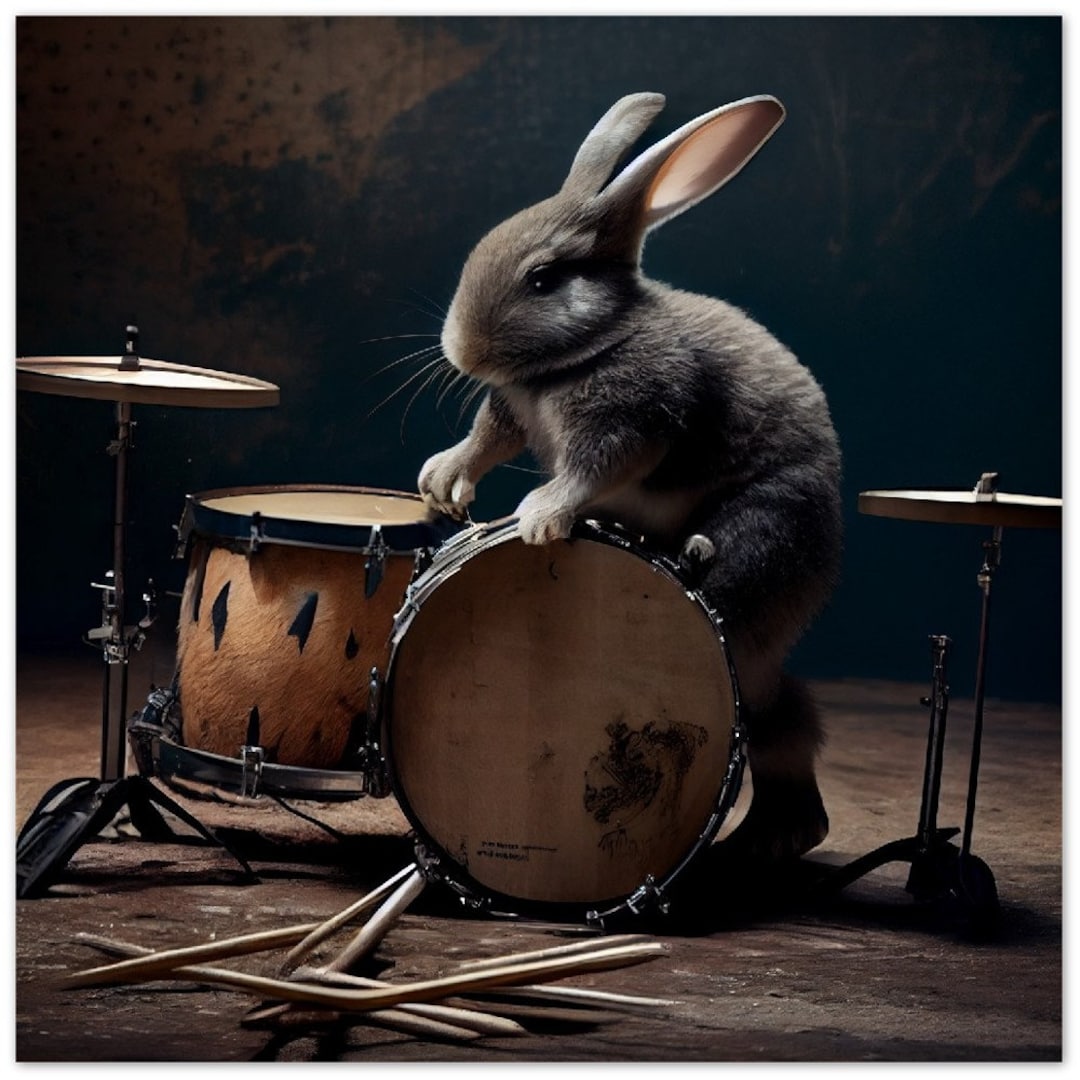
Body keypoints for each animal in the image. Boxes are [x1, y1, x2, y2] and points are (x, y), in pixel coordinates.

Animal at [418, 92, 843, 861]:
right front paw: (443, 479)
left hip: (764, 540)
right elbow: (487, 438)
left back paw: (781, 834)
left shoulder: (629, 422)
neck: (588, 344)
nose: (459, 349)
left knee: (774, 710)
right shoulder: (513, 410)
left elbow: (592, 469)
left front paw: (539, 516)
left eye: (543, 279)